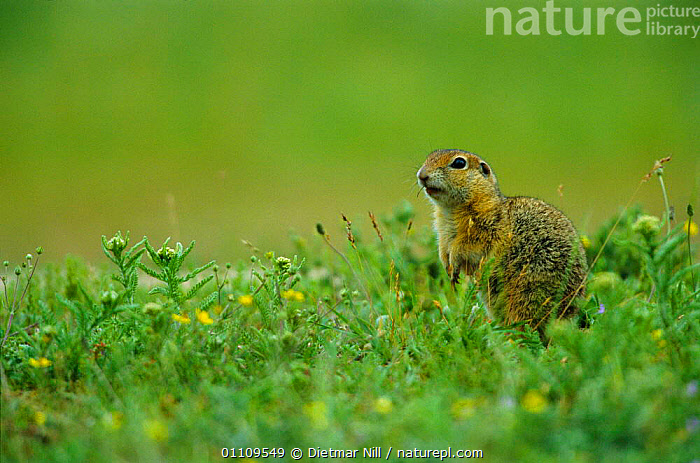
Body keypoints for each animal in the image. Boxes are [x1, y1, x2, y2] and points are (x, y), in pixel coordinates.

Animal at [417, 149, 587, 335]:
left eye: (459, 163)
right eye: (429, 157)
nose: (421, 175)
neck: (451, 211)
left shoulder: (484, 230)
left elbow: (463, 247)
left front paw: (454, 267)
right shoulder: (443, 235)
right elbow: (443, 250)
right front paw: (448, 269)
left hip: (528, 291)